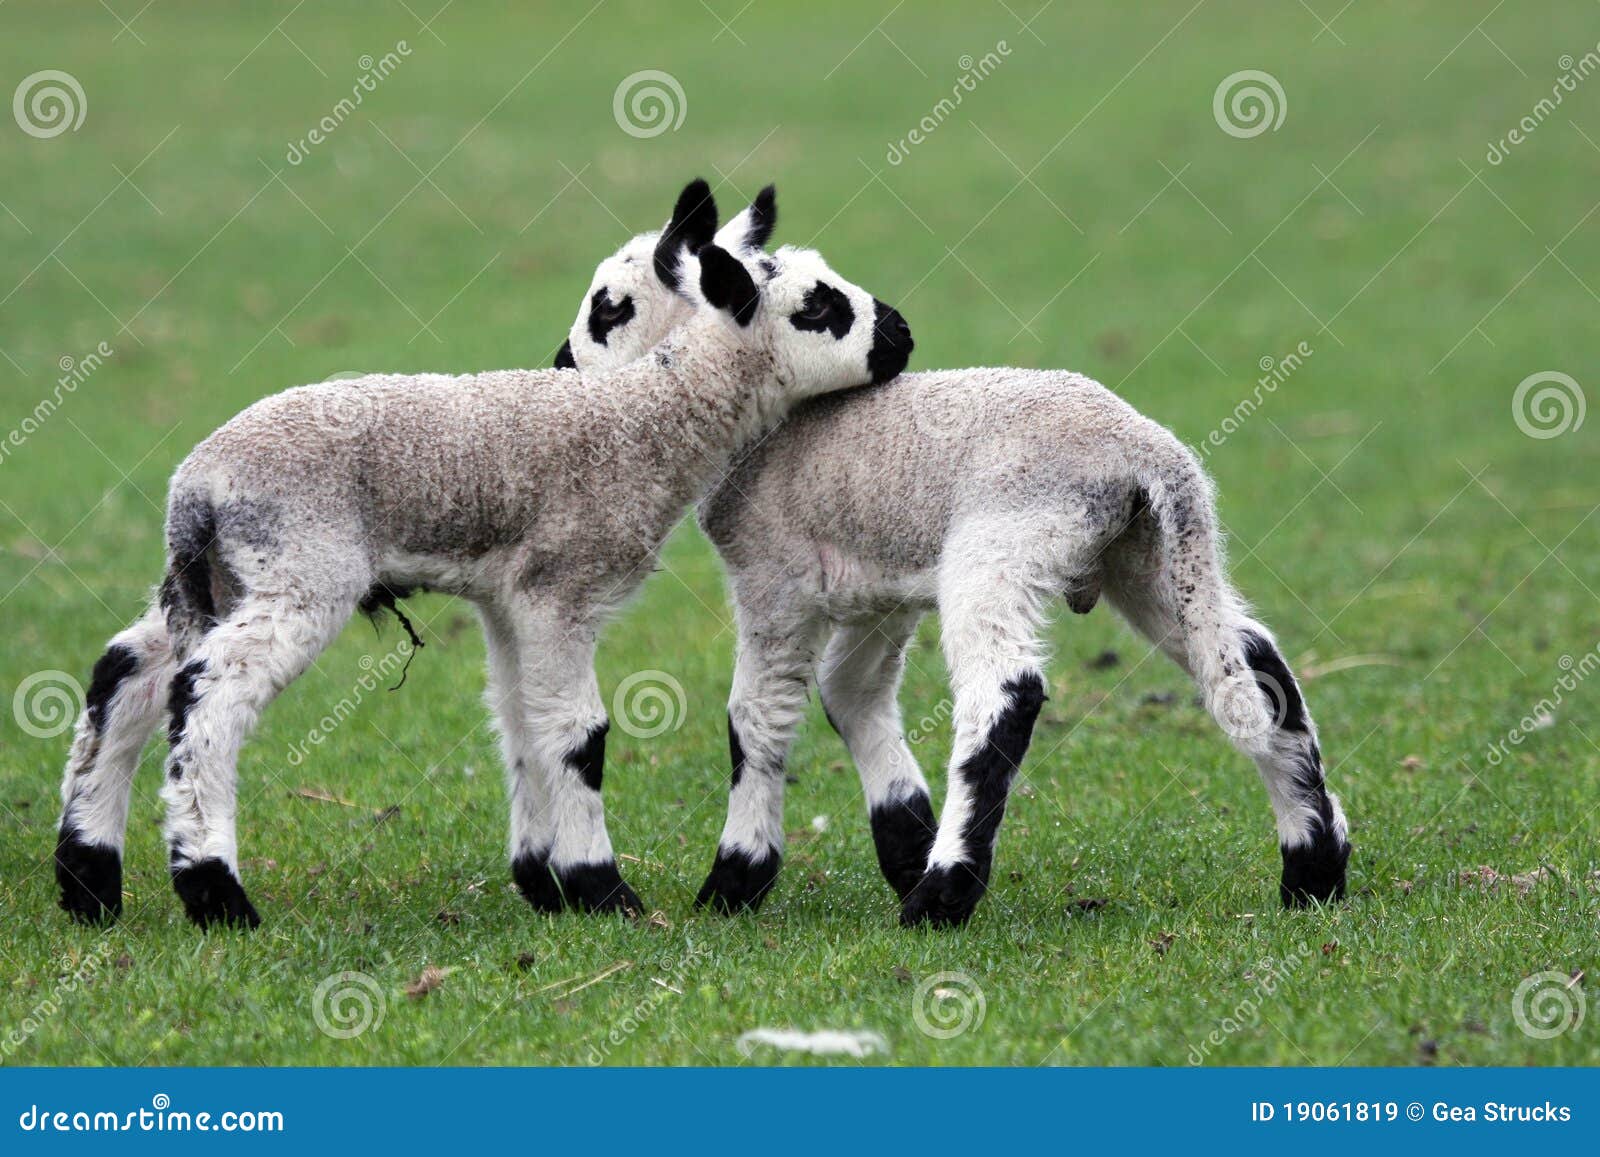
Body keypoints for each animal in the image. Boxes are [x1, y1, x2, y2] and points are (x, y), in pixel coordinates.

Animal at [52, 178, 914, 929]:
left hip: (213, 579)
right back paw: (216, 894)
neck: (645, 416)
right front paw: (604, 891)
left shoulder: (508, 596)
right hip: (299, 567)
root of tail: (195, 488)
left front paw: (545, 883)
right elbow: (579, 734)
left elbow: (520, 723)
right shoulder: (559, 586)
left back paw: (89, 880)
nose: (903, 334)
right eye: (820, 306)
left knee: (125, 674)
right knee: (207, 694)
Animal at [562, 200, 1350, 929]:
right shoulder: (877, 591)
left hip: (1001, 547)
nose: (561, 368)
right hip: (1155, 557)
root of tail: (1146, 453)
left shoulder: (774, 581)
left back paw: (941, 897)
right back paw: (1313, 870)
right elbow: (851, 695)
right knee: (1254, 666)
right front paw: (904, 842)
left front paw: (736, 881)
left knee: (1004, 692)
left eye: (609, 306)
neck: (758, 431)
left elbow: (756, 717)